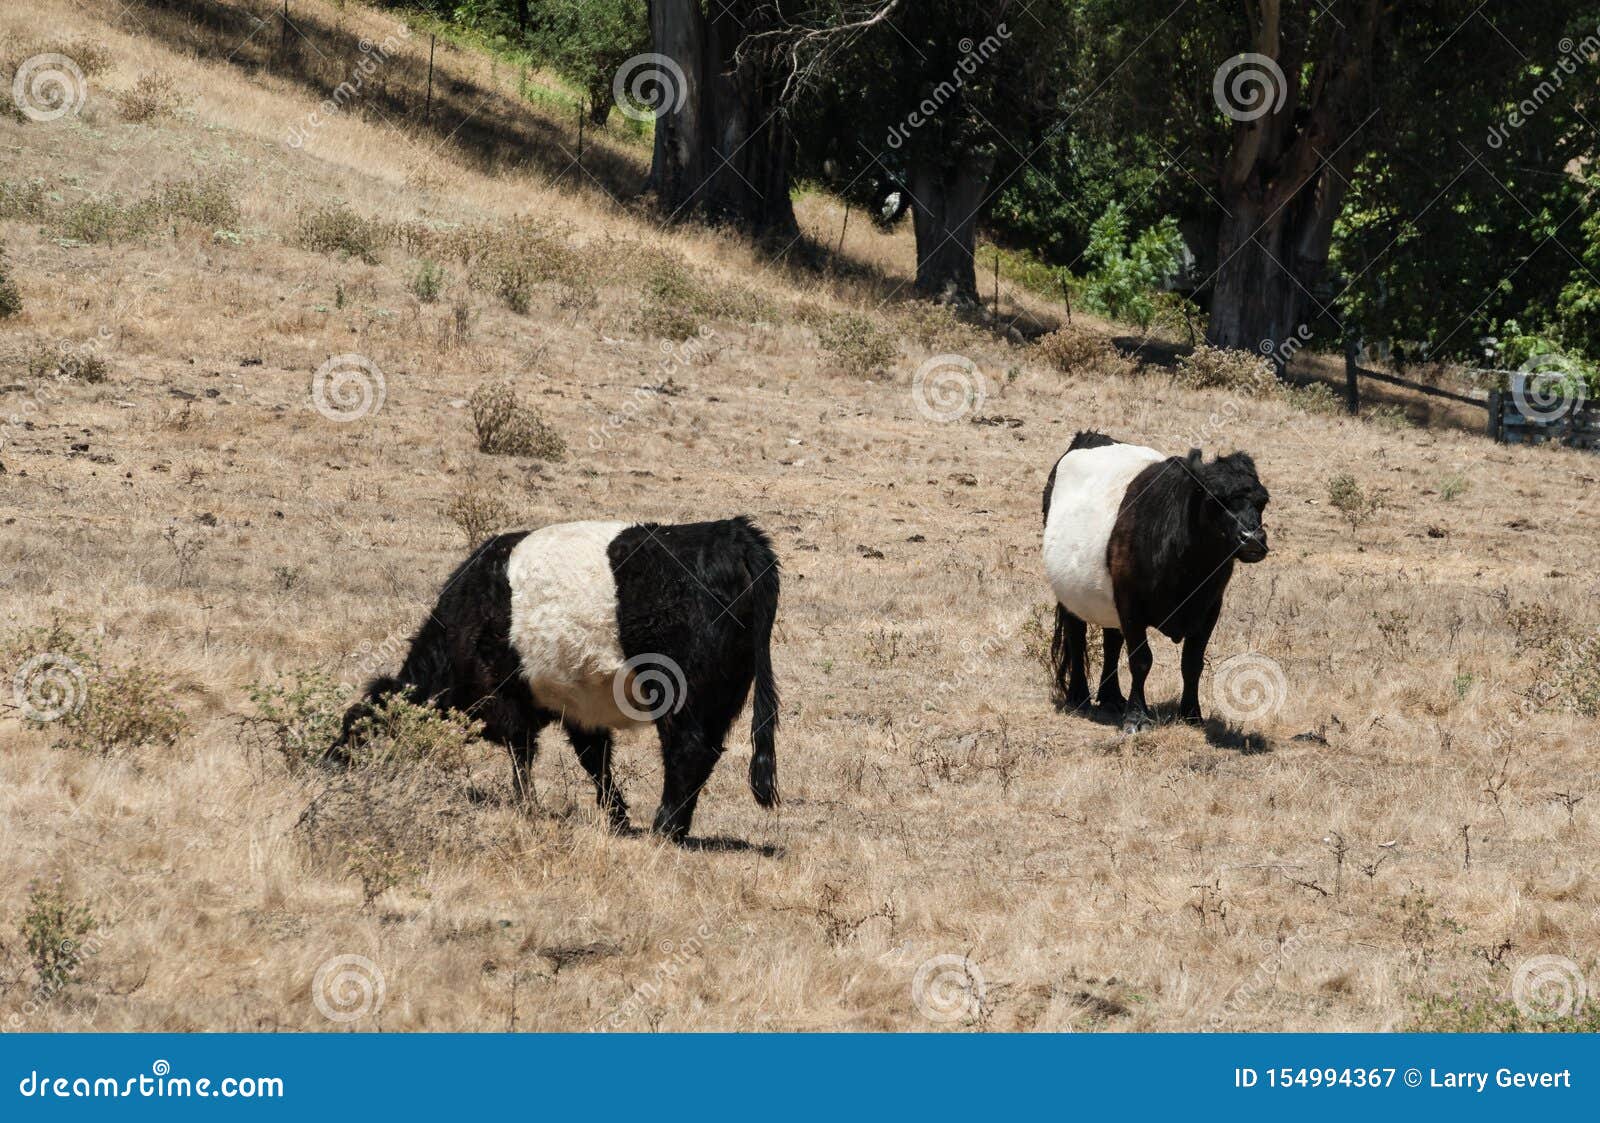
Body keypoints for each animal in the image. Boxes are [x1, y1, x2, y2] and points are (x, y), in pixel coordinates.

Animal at [333, 516, 781, 841]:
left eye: (354, 733)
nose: (329, 762)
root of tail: (735, 532)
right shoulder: (580, 709)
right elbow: (595, 762)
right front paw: (617, 817)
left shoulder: (508, 697)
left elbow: (522, 755)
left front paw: (527, 806)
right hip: (722, 695)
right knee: (704, 754)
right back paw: (674, 828)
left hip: (681, 694)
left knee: (687, 751)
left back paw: (664, 829)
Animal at [1041, 431, 1269, 733]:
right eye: (1214, 499)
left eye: (1263, 501)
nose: (1253, 539)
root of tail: (1090, 436)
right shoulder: (1131, 603)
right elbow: (1141, 660)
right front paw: (1137, 717)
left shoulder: (1210, 607)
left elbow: (1192, 663)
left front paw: (1192, 715)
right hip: (1070, 595)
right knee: (1077, 638)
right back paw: (1079, 698)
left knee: (1111, 641)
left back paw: (1112, 698)